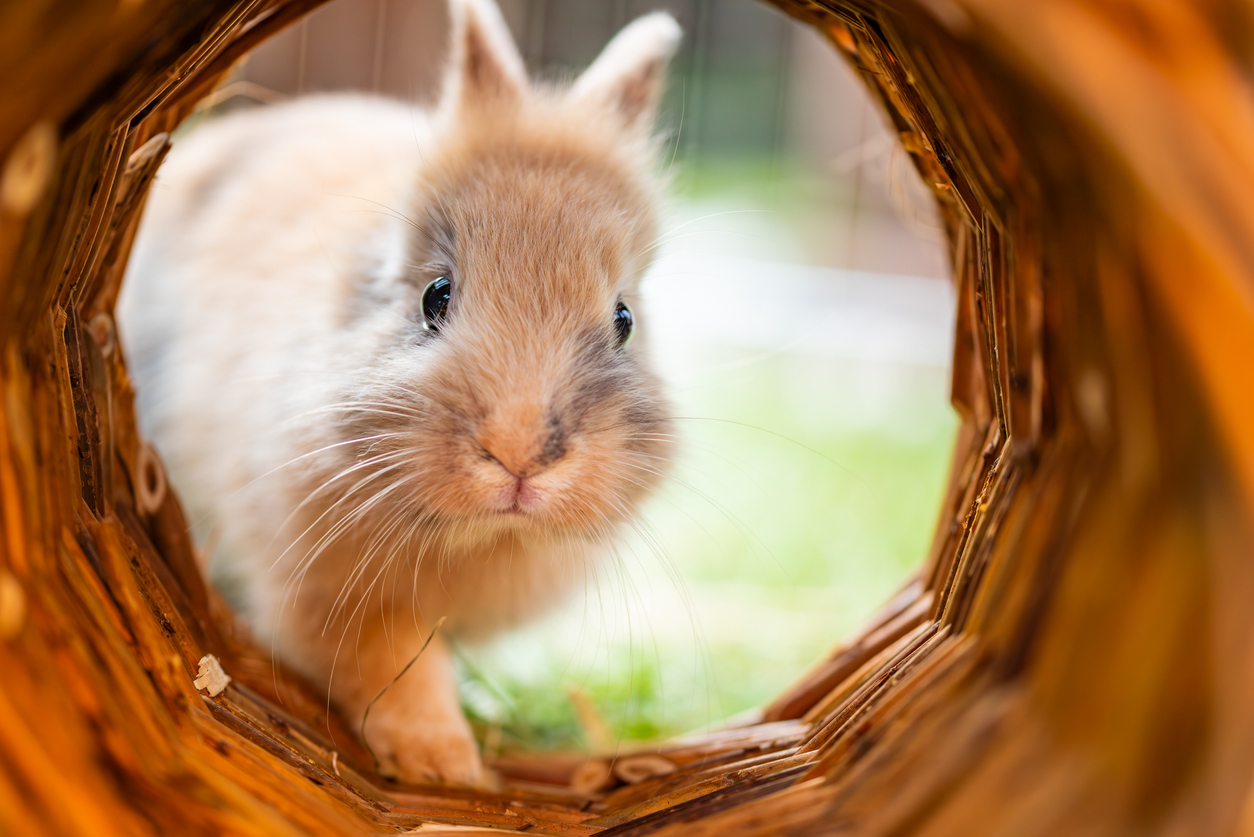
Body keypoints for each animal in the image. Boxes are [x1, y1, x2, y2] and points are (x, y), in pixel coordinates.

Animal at [117, 0, 681, 788]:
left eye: (625, 319)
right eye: (434, 296)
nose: (519, 455)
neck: (476, 533)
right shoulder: (336, 591)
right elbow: (393, 666)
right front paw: (441, 765)